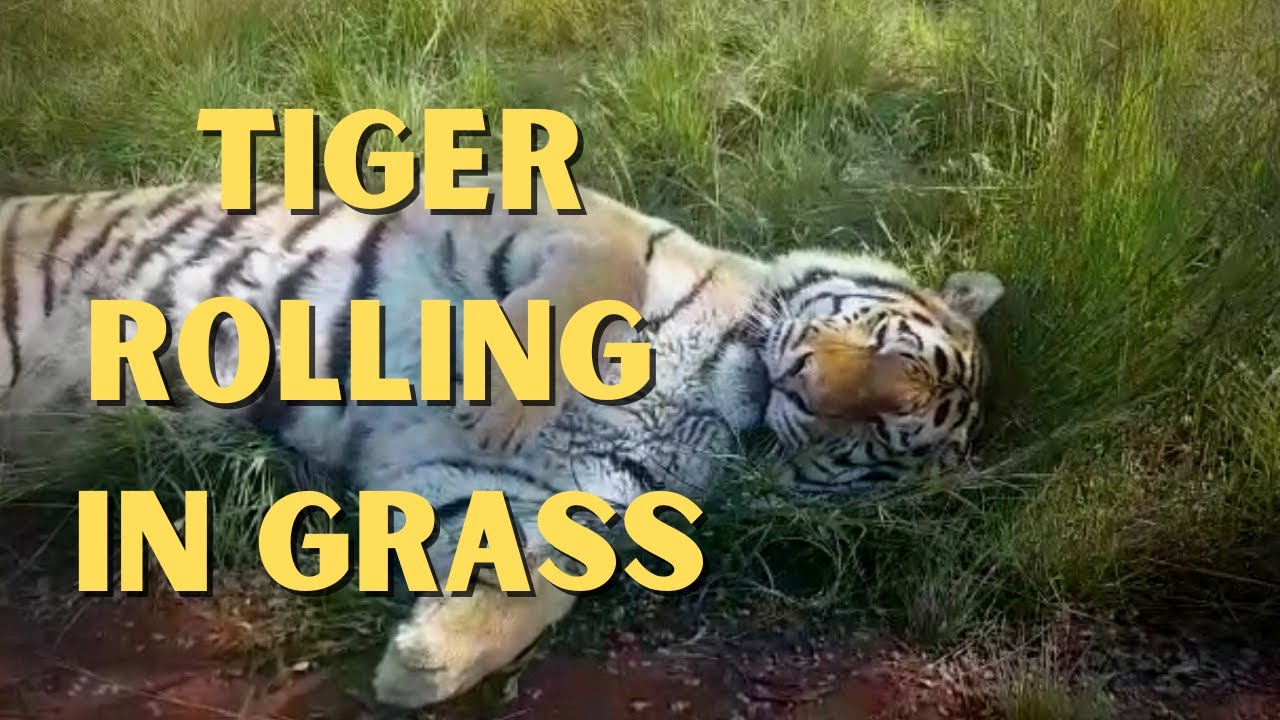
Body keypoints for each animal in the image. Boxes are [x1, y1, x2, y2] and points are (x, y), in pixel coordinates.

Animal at [0, 172, 1003, 708]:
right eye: (889, 351)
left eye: (871, 441)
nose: (806, 385)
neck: (724, 395)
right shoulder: (564, 219)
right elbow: (587, 282)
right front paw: (506, 386)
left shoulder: (498, 481)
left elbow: (538, 580)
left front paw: (426, 662)